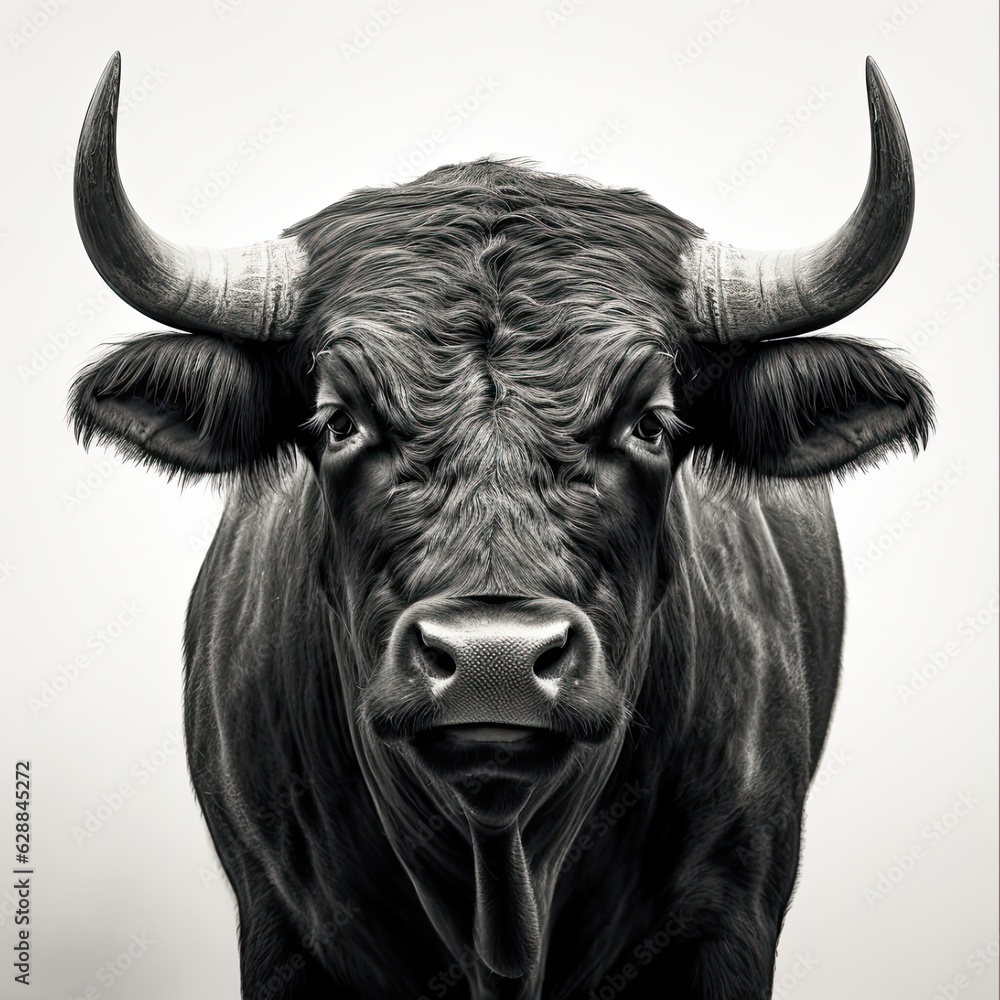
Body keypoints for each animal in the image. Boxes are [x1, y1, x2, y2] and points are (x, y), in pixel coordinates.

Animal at [69, 53, 932, 999]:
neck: (503, 885)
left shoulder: (730, 917)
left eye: (652, 423)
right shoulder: (278, 927)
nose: (496, 663)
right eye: (338, 421)